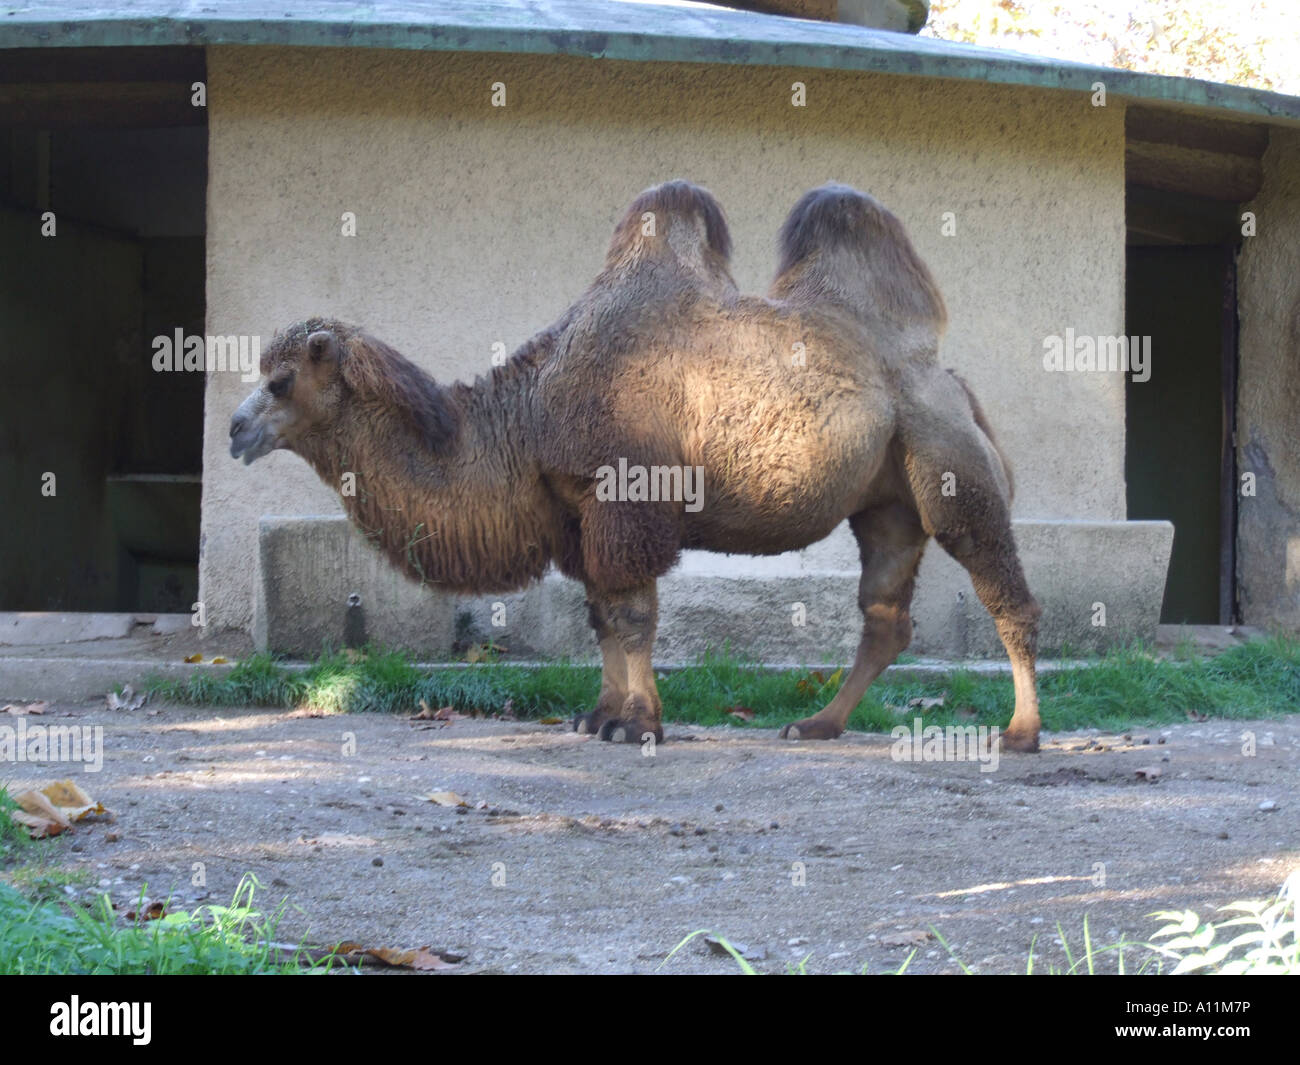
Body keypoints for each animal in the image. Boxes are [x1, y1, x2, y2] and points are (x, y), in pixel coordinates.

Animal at [230, 180, 1042, 751]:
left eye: (282, 381)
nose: (235, 430)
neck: (522, 417)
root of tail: (947, 376)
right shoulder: (577, 512)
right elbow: (600, 615)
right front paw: (599, 716)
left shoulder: (627, 497)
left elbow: (632, 614)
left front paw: (639, 723)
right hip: (887, 500)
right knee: (884, 616)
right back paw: (816, 725)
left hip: (946, 459)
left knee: (1001, 589)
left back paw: (1022, 732)